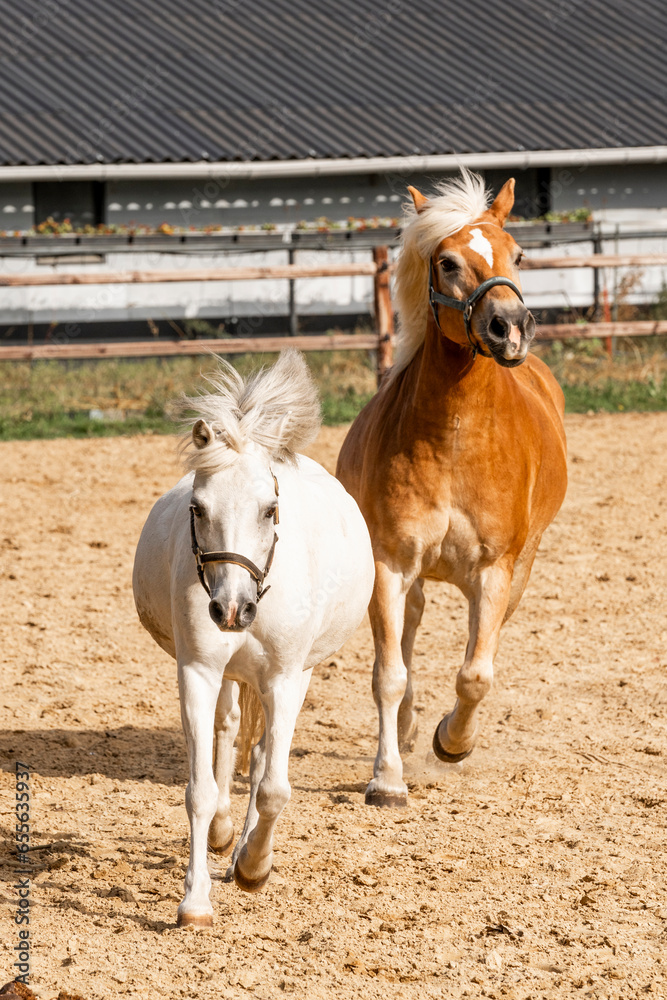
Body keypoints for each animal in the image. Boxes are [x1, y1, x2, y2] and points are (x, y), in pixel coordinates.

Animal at [133, 350, 374, 926]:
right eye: (198, 508)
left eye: (269, 509)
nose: (231, 609)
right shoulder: (198, 671)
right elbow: (200, 788)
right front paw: (196, 901)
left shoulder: (285, 678)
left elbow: (273, 788)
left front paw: (253, 867)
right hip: (228, 673)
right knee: (227, 731)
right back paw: (224, 833)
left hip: (294, 674)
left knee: (263, 752)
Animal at [336, 169, 567, 808]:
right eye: (447, 262)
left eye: (518, 253)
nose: (510, 328)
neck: (455, 438)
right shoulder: (390, 563)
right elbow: (389, 674)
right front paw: (388, 778)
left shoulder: (494, 571)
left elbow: (476, 674)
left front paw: (453, 742)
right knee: (408, 636)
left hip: (520, 568)